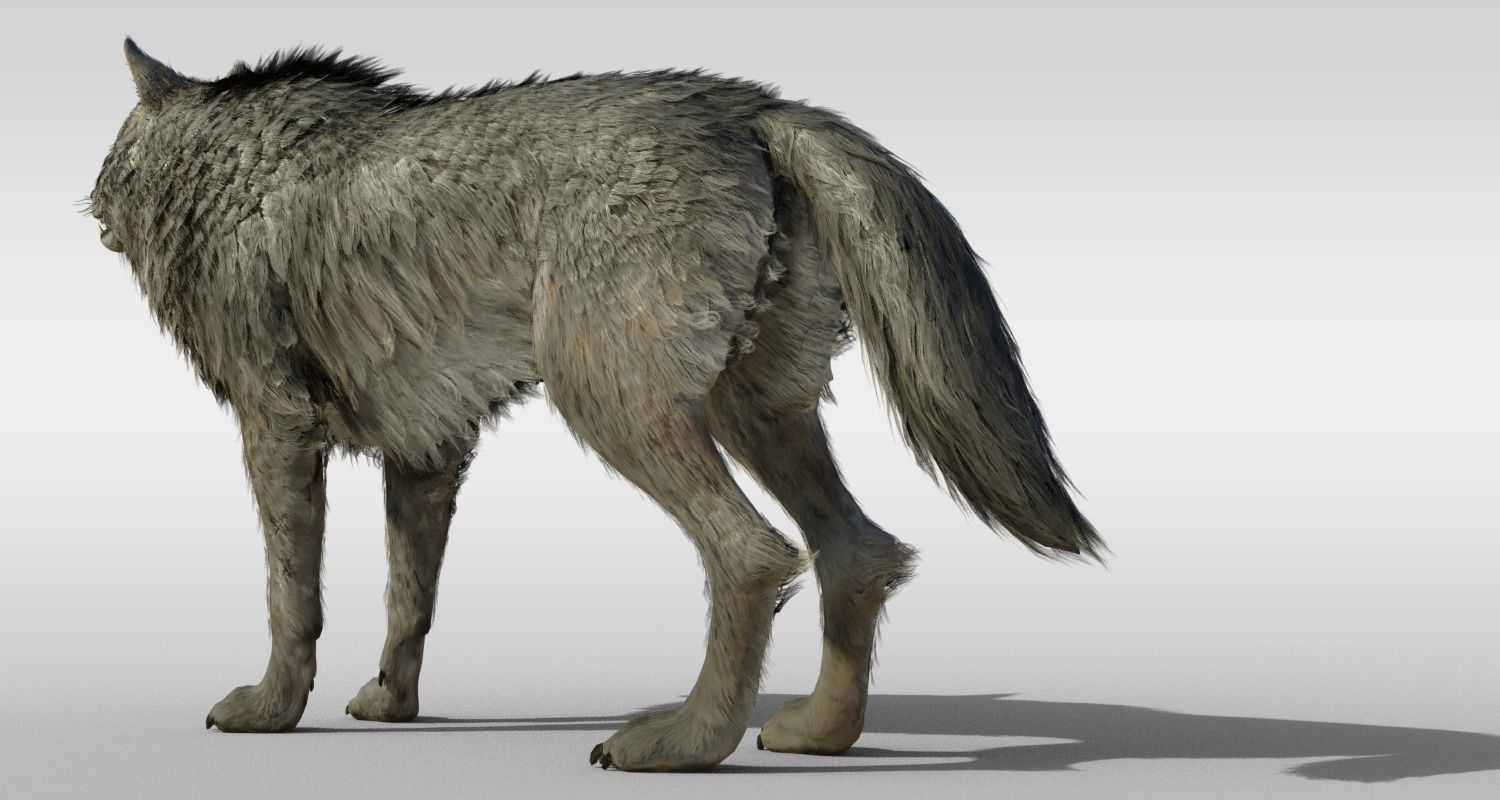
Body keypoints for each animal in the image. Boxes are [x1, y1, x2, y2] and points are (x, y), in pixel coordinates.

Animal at [89, 38, 1104, 771]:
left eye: (113, 160)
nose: (89, 204)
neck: (229, 170)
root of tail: (753, 107)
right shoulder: (427, 452)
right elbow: (409, 598)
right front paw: (389, 708)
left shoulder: (276, 426)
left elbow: (290, 597)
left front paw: (269, 711)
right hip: (751, 411)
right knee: (858, 551)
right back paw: (817, 734)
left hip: (612, 401)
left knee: (754, 554)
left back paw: (682, 745)